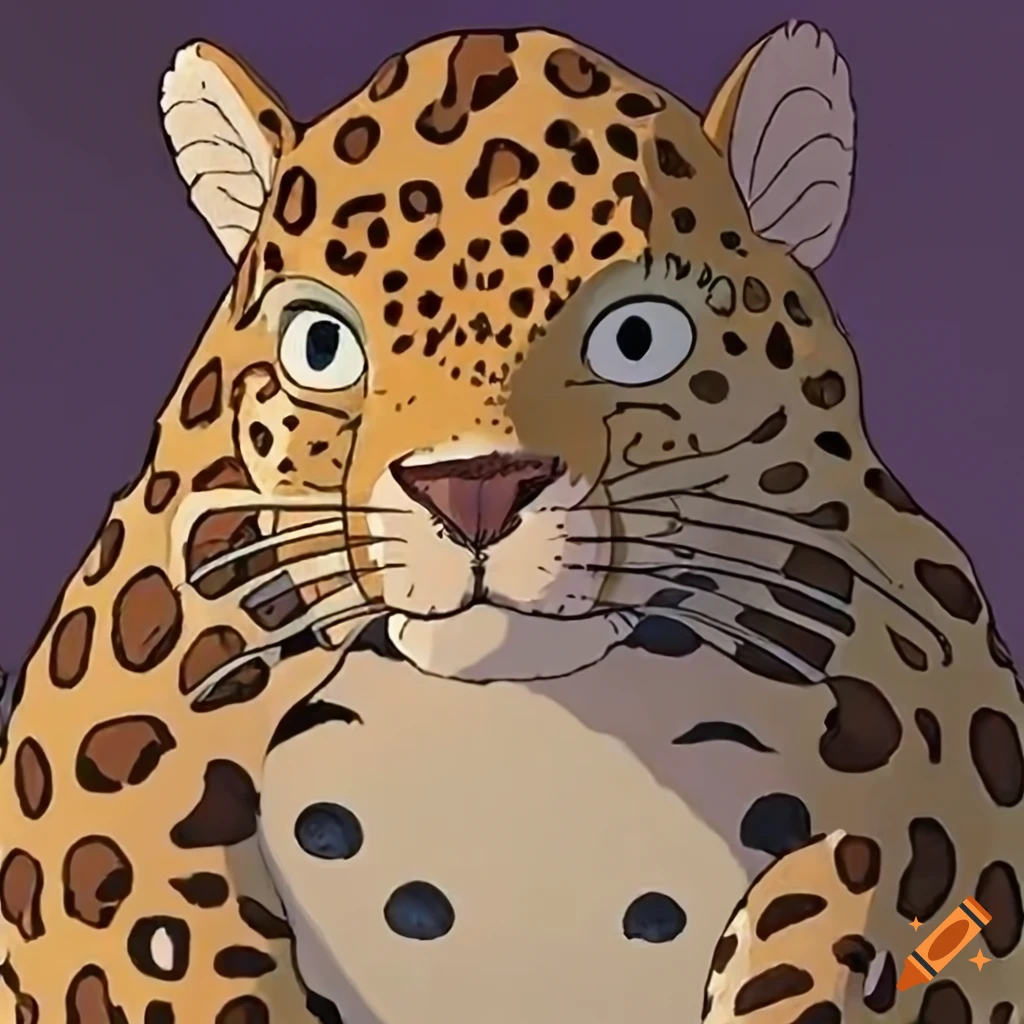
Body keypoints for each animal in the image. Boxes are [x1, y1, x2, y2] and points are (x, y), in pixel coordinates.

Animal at [1, 19, 1022, 1024]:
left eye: (638, 337)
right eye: (320, 345)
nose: (475, 489)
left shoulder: (929, 732)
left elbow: (864, 908)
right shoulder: (120, 754)